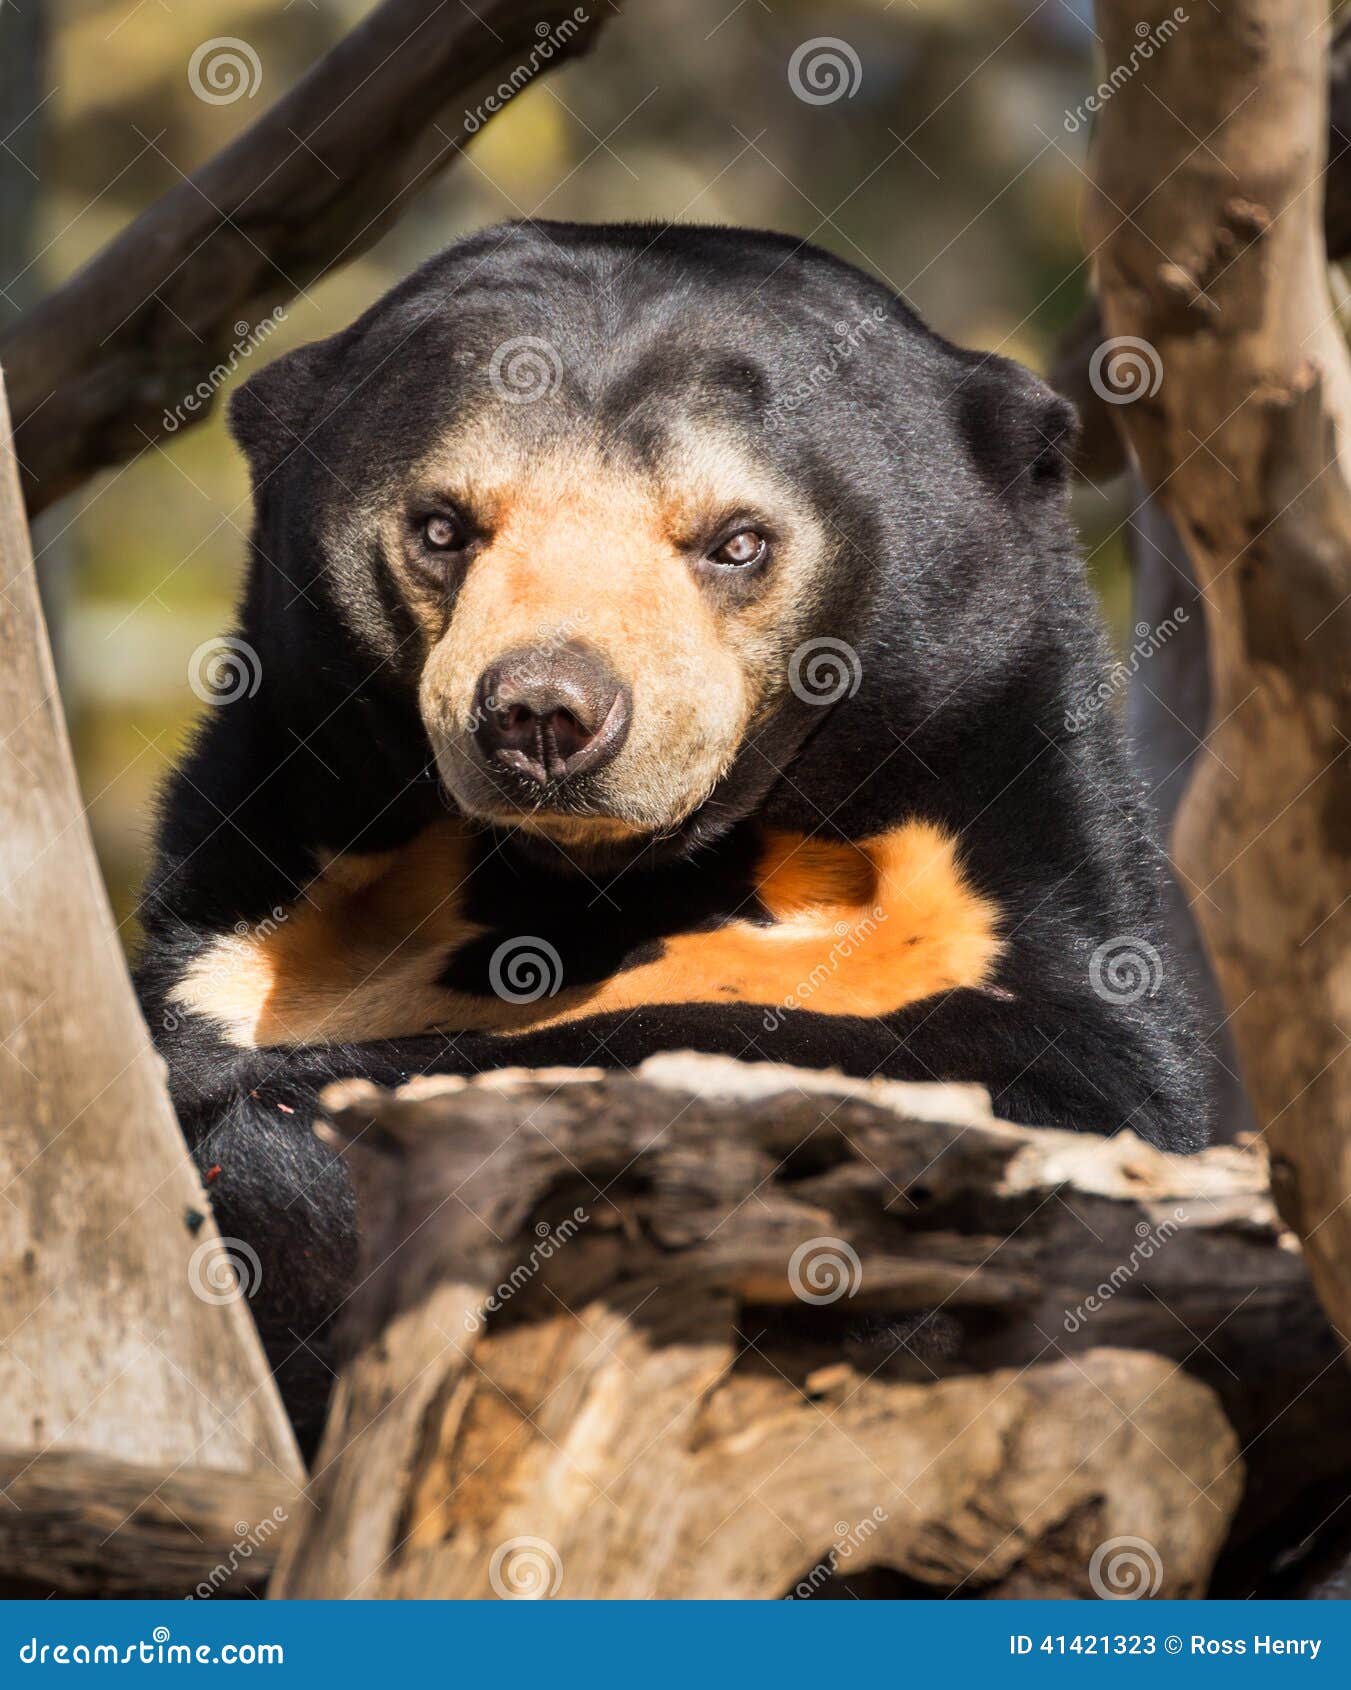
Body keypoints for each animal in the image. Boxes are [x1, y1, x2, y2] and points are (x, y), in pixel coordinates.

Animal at [135, 220, 1210, 1450]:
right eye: (443, 527)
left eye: (736, 543)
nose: (542, 714)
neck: (585, 887)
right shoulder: (249, 931)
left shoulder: (997, 930)